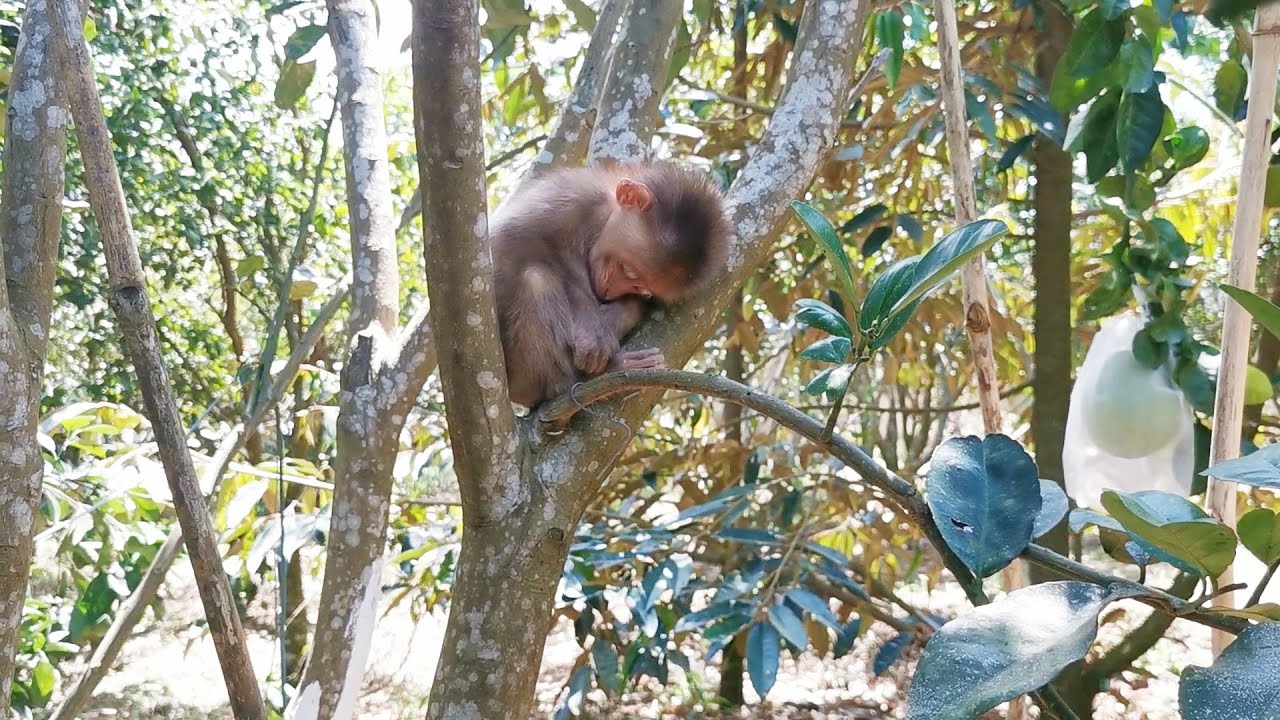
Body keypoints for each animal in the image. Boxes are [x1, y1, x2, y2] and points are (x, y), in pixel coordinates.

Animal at [488, 161, 730, 408]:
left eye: (642, 289)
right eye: (627, 269)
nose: (610, 290)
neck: (602, 218)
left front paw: (617, 315)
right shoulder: (571, 198)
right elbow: (508, 241)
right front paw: (592, 327)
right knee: (536, 279)